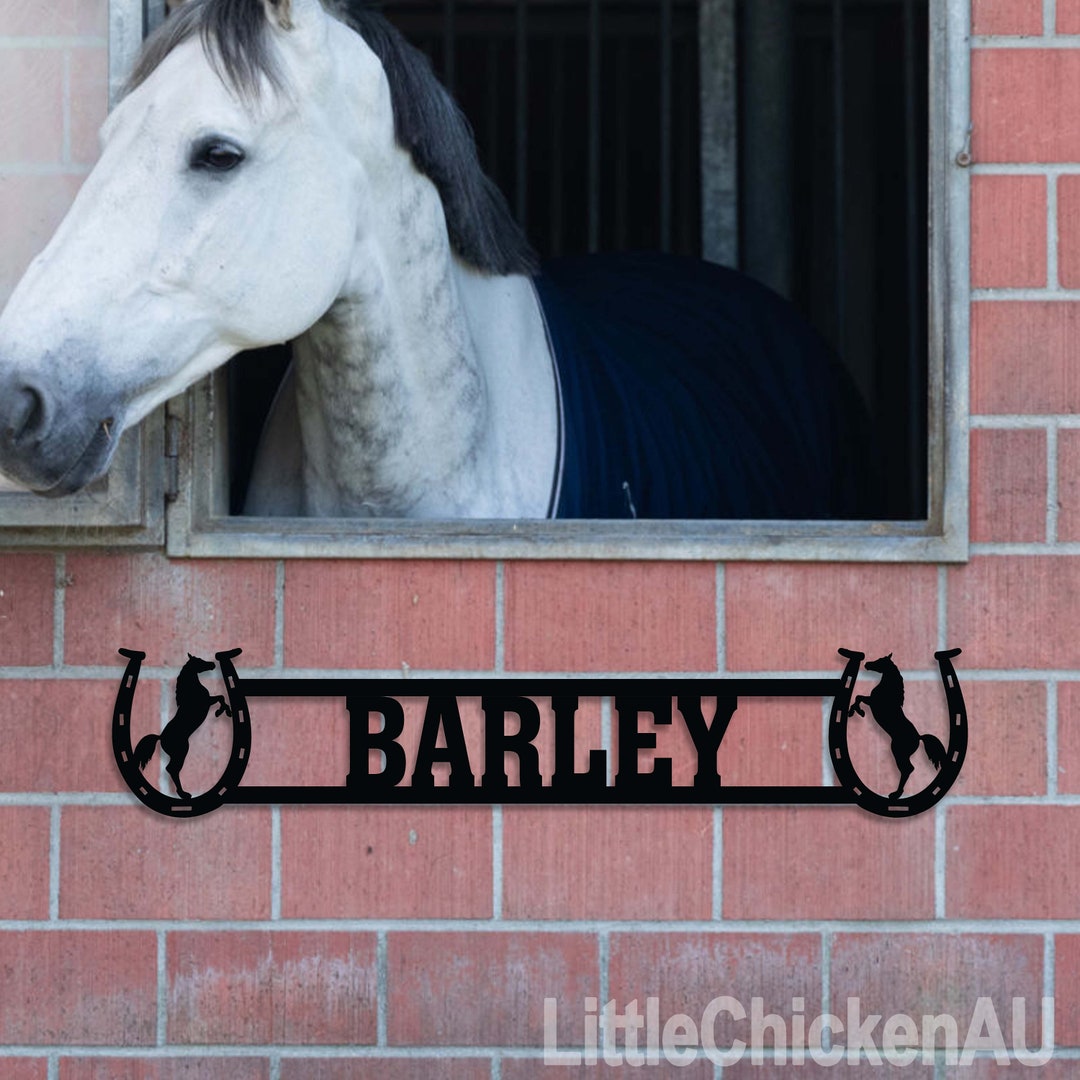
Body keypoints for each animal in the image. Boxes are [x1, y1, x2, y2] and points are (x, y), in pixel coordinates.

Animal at [133, 653, 232, 799]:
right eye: (199, 661)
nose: (212, 664)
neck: (191, 690)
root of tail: (160, 737)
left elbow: (221, 697)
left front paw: (223, 711)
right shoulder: (207, 702)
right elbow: (221, 697)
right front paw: (222, 712)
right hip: (181, 752)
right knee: (172, 769)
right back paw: (184, 794)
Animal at [848, 653, 946, 800]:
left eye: (880, 661)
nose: (866, 664)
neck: (888, 690)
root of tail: (919, 737)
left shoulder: (872, 702)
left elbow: (858, 697)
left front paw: (857, 712)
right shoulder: (871, 701)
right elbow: (858, 697)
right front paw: (857, 712)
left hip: (898, 752)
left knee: (907, 769)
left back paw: (895, 794)